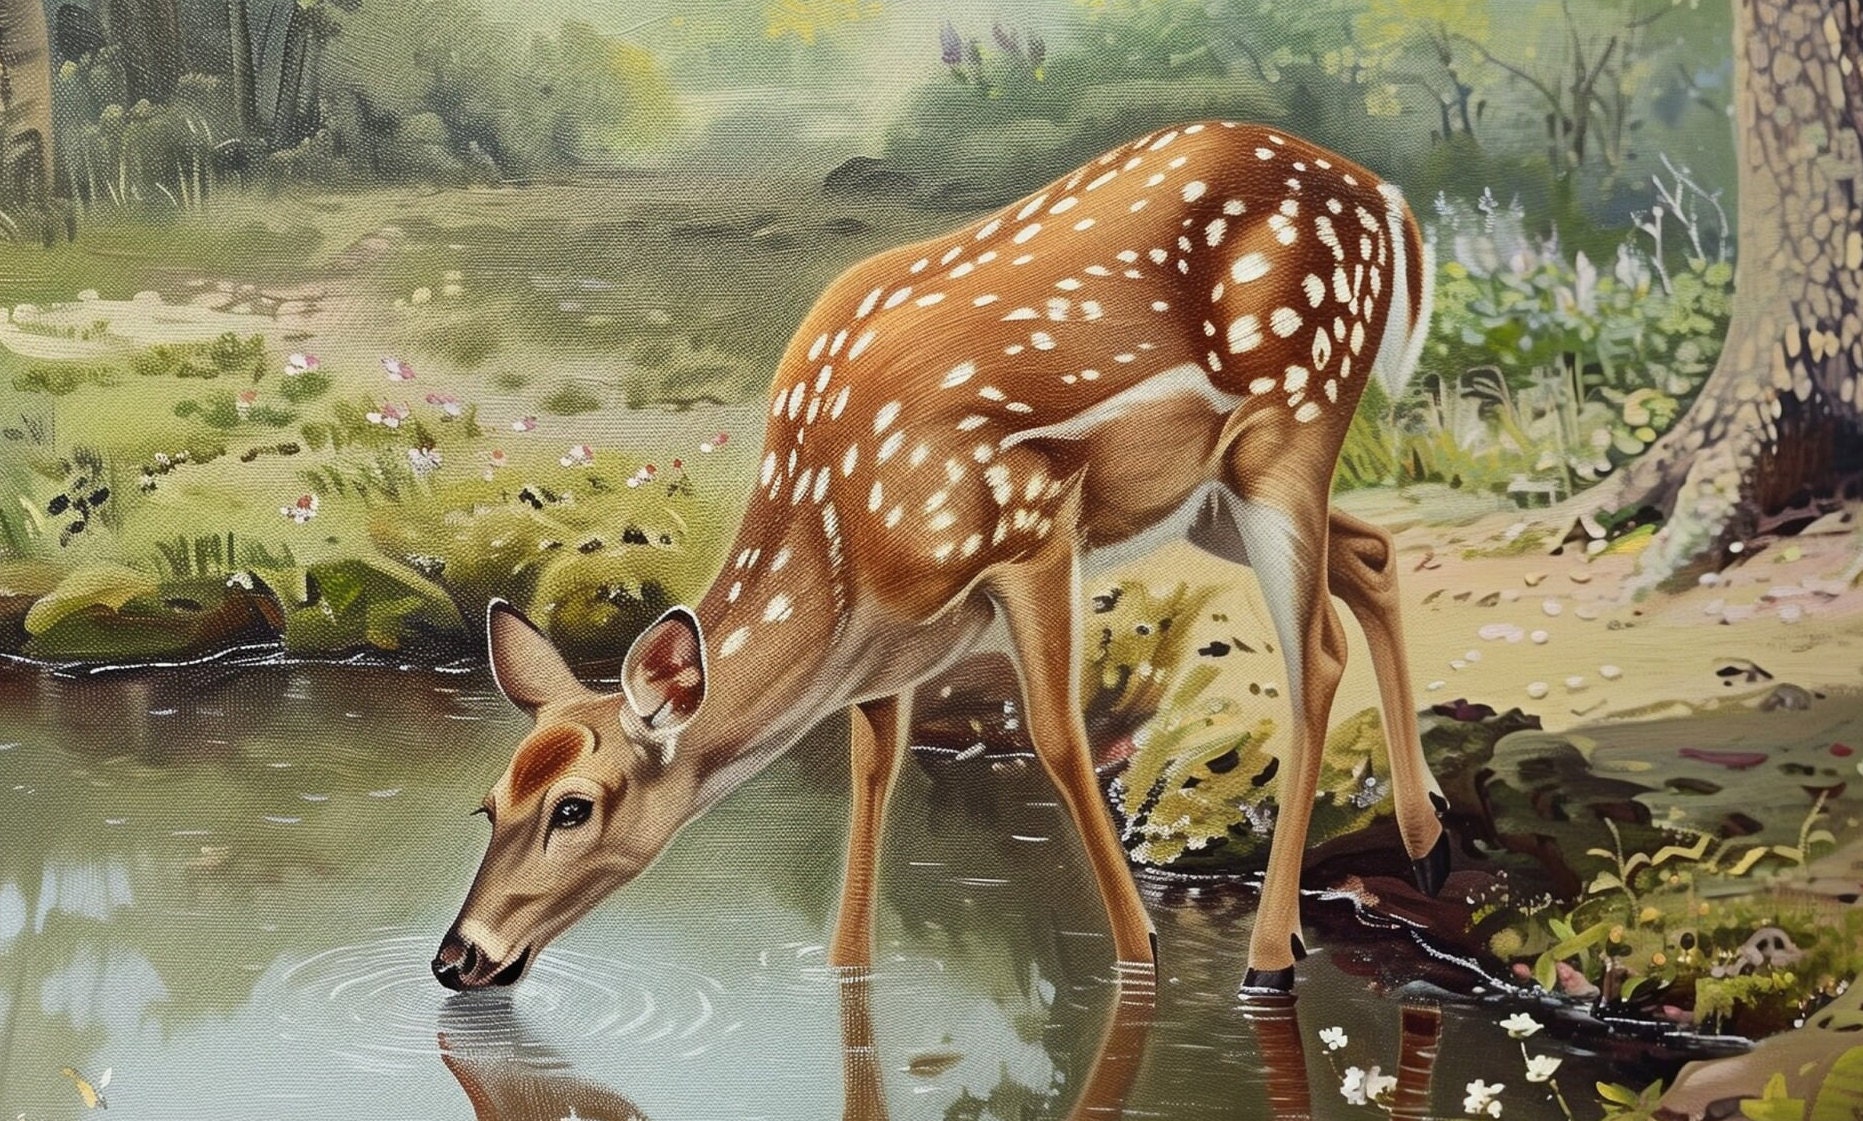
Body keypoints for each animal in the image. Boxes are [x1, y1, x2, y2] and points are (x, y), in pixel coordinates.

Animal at [433, 120, 1450, 1001]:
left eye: (573, 807)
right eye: (488, 803)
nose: (456, 956)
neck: (844, 542)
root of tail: (1391, 200)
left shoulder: (1031, 523)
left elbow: (1057, 736)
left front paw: (1140, 954)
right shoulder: (893, 648)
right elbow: (871, 772)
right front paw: (845, 969)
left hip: (1294, 417)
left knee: (1314, 653)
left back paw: (1272, 957)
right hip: (1209, 497)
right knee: (1373, 553)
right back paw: (1426, 842)